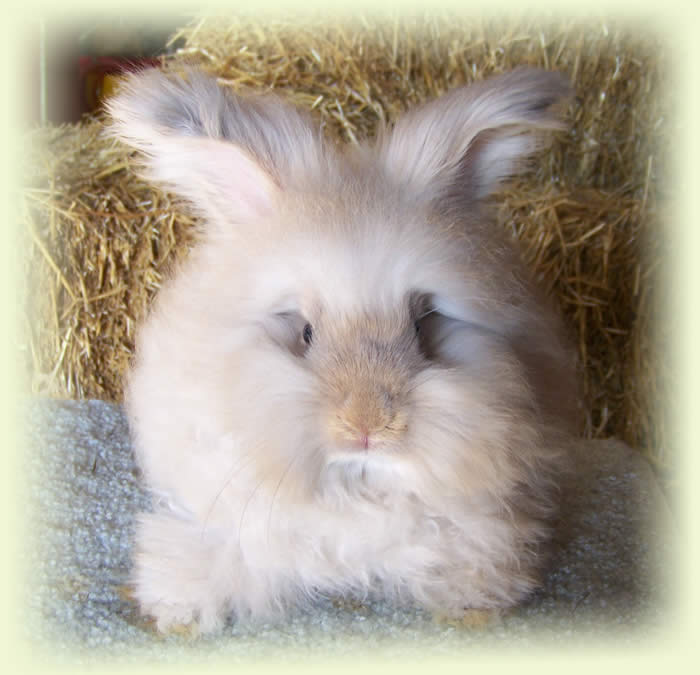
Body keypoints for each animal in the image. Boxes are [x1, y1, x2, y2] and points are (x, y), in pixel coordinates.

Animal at [106, 66, 578, 634]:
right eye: (306, 333)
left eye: (424, 324)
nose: (369, 426)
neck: (357, 480)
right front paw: (178, 611)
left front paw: (473, 607)